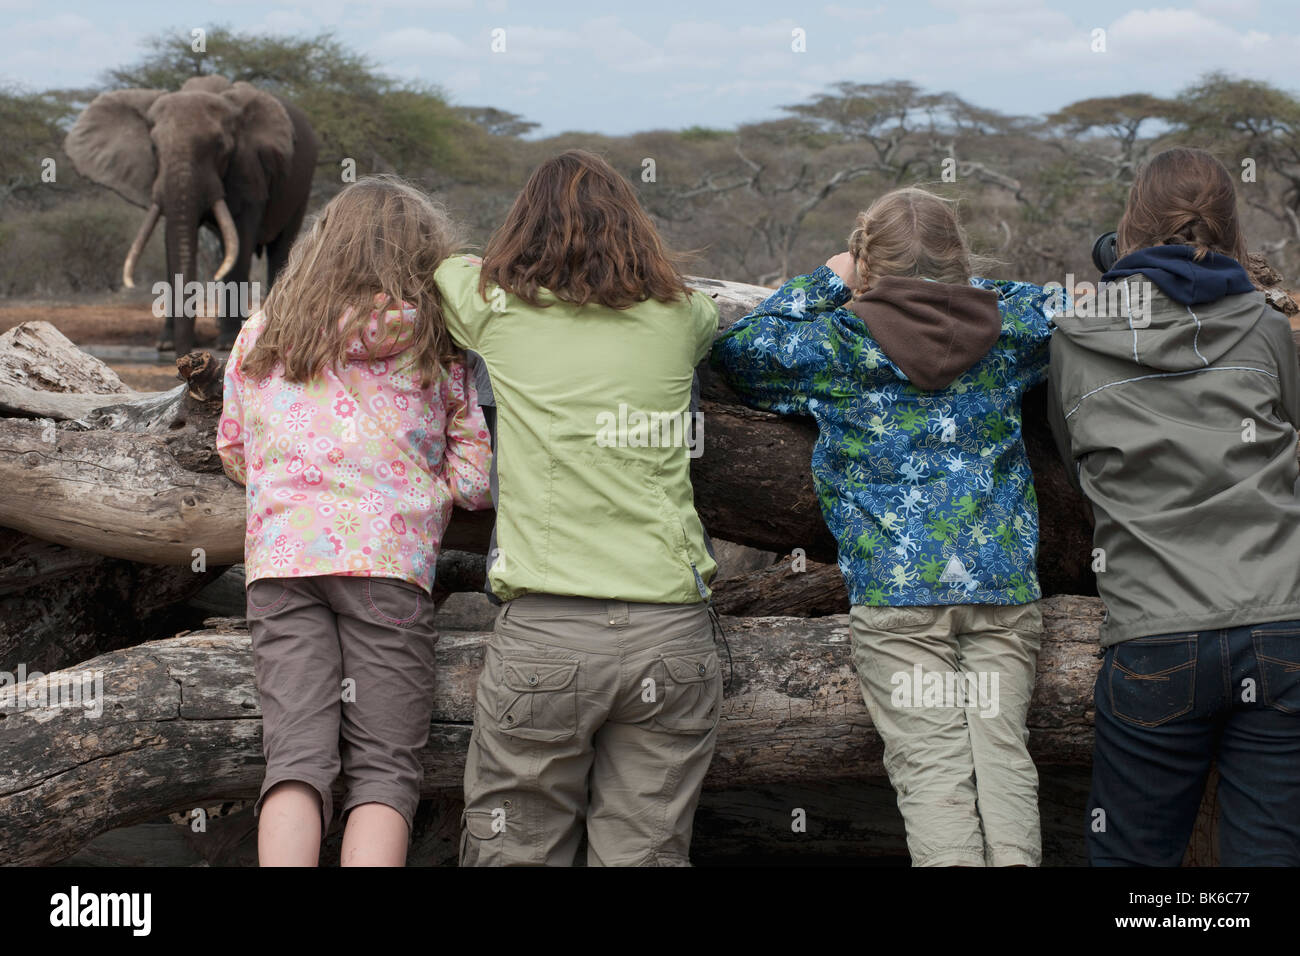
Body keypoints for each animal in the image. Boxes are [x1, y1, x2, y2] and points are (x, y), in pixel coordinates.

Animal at [65, 74, 319, 354]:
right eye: (153, 147)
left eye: (220, 147)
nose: (187, 356)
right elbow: (172, 247)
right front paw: (165, 344)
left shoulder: (248, 168)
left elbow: (240, 246)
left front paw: (226, 342)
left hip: (301, 186)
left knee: (280, 248)